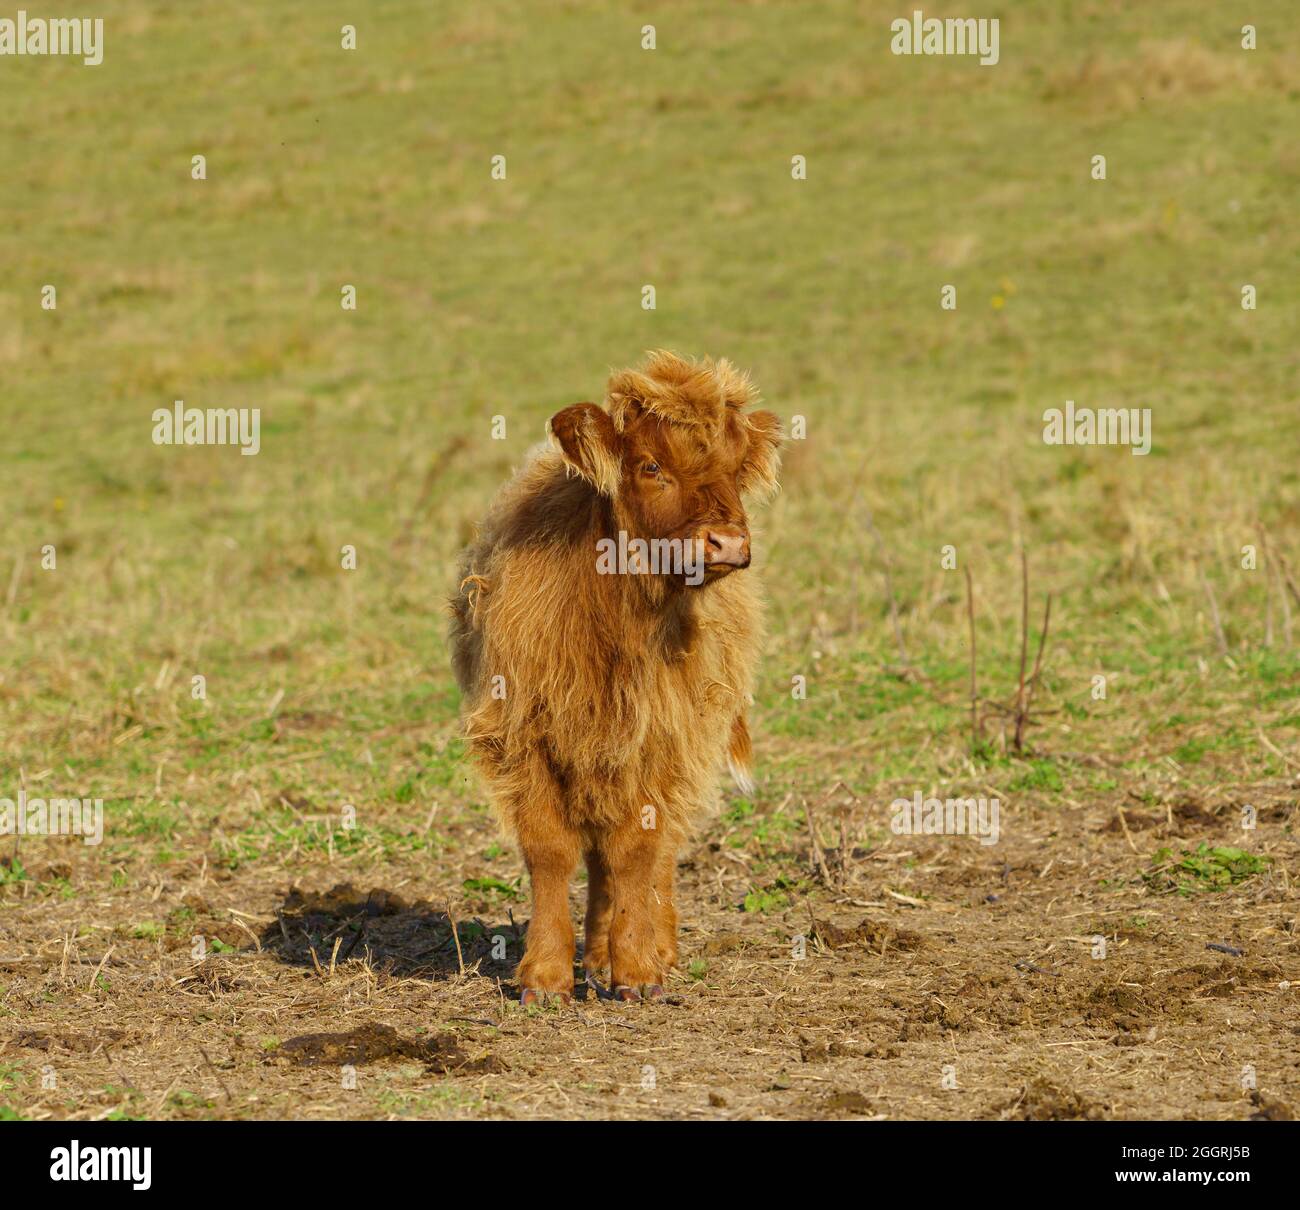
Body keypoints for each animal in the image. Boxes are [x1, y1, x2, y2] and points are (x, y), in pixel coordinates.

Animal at [449, 350, 781, 1004]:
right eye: (652, 465)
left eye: (735, 469)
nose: (728, 541)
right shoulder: (523, 734)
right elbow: (552, 850)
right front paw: (547, 976)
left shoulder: (660, 741)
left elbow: (637, 851)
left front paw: (637, 970)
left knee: (657, 849)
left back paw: (652, 948)